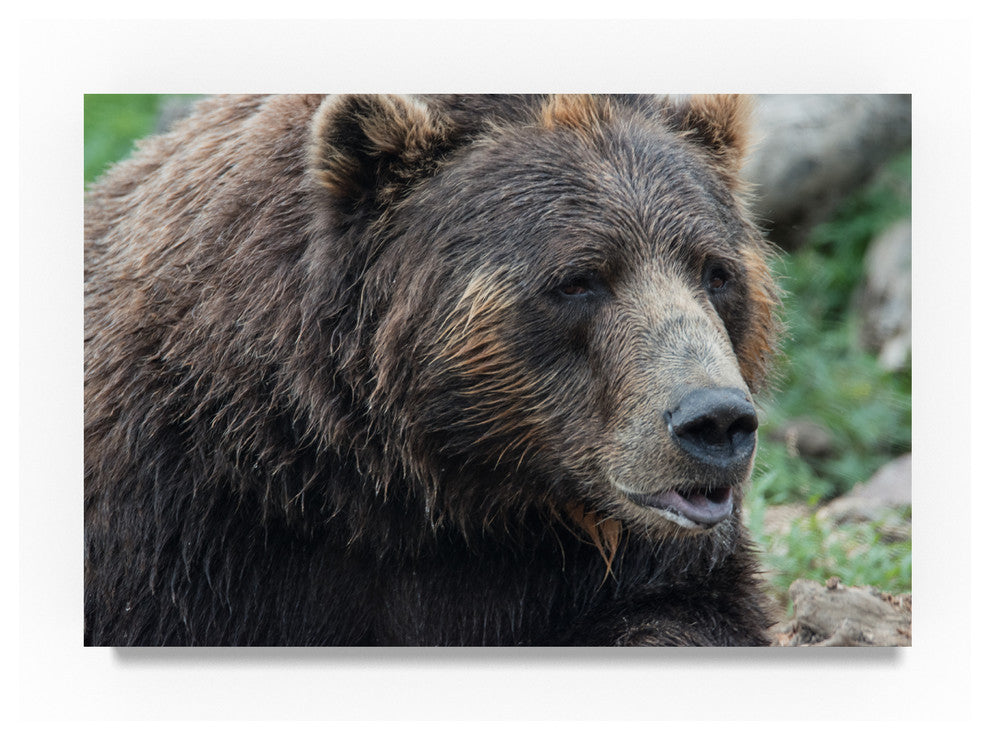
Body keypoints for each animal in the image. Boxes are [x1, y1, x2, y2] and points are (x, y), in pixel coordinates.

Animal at [84, 93, 779, 646]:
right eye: (579, 279)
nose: (715, 421)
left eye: (716, 271)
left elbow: (682, 615)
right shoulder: (181, 530)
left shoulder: (610, 570)